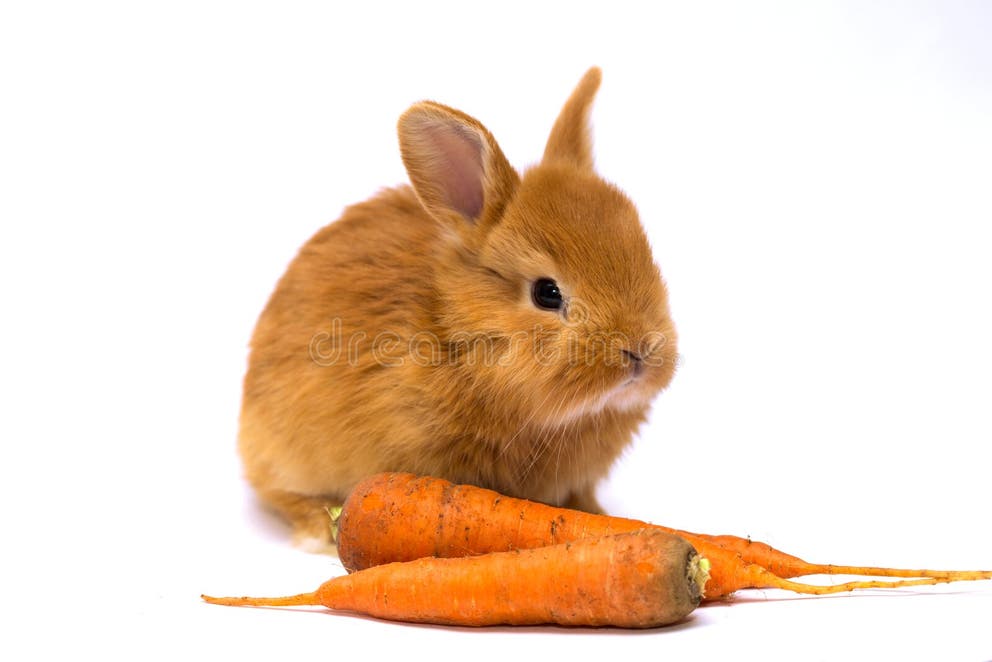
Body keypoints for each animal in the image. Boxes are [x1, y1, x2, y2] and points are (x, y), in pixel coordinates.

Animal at [238, 67, 678, 551]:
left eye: (645, 256)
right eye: (546, 293)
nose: (641, 352)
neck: (461, 337)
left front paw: (598, 516)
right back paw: (318, 529)